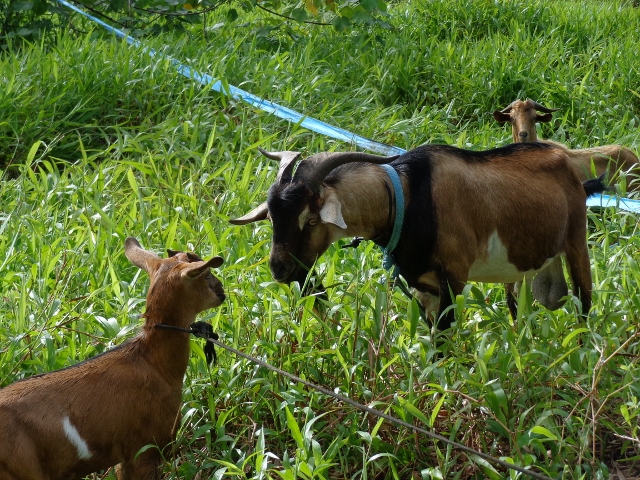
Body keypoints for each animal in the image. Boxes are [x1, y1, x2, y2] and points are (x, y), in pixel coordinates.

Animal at [230, 143, 606, 331]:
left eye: (309, 220)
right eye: (272, 217)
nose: (279, 269)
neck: (404, 196)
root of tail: (569, 166)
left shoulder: (453, 277)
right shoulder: (421, 284)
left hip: (576, 242)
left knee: (584, 303)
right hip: (526, 268)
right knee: (521, 308)